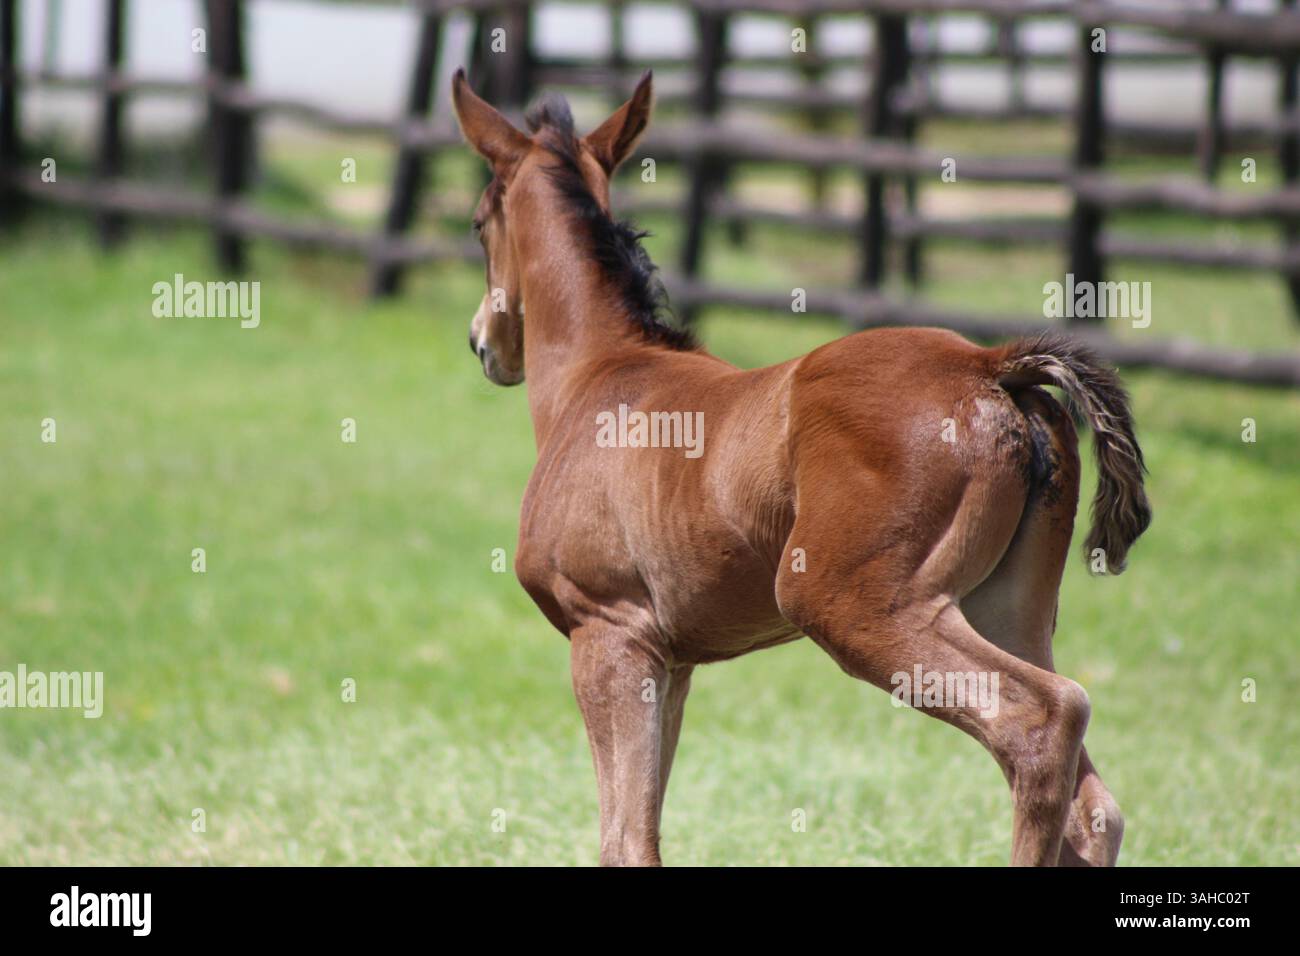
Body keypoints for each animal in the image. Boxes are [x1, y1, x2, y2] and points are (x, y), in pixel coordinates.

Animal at [451, 68, 1151, 866]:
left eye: (478, 223)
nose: (483, 342)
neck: (600, 373)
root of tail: (986, 365)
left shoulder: (607, 633)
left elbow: (625, 841)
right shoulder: (671, 660)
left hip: (853, 604)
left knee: (1042, 722)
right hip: (1006, 612)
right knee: (1092, 805)